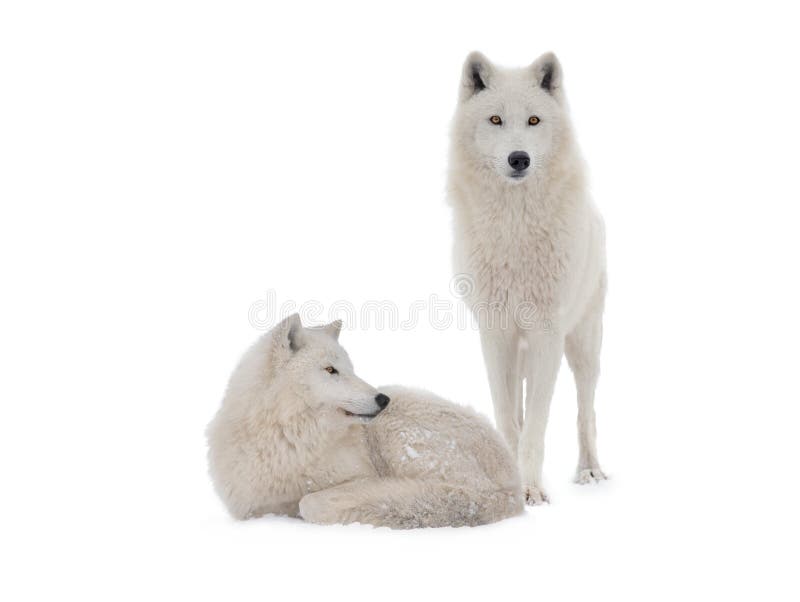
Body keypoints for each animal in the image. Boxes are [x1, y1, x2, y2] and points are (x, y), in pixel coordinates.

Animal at [206, 314, 524, 528]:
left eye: (351, 369)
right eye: (330, 370)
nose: (383, 400)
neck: (293, 437)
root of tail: (514, 486)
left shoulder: (355, 477)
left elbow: (310, 502)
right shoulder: (251, 508)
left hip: (396, 431)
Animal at [448, 51, 608, 504]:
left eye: (534, 120)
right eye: (495, 120)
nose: (519, 158)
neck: (515, 229)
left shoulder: (546, 335)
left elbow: (536, 425)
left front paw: (532, 490)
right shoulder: (495, 333)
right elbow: (508, 417)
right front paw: (512, 485)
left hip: (583, 345)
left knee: (586, 411)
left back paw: (590, 471)